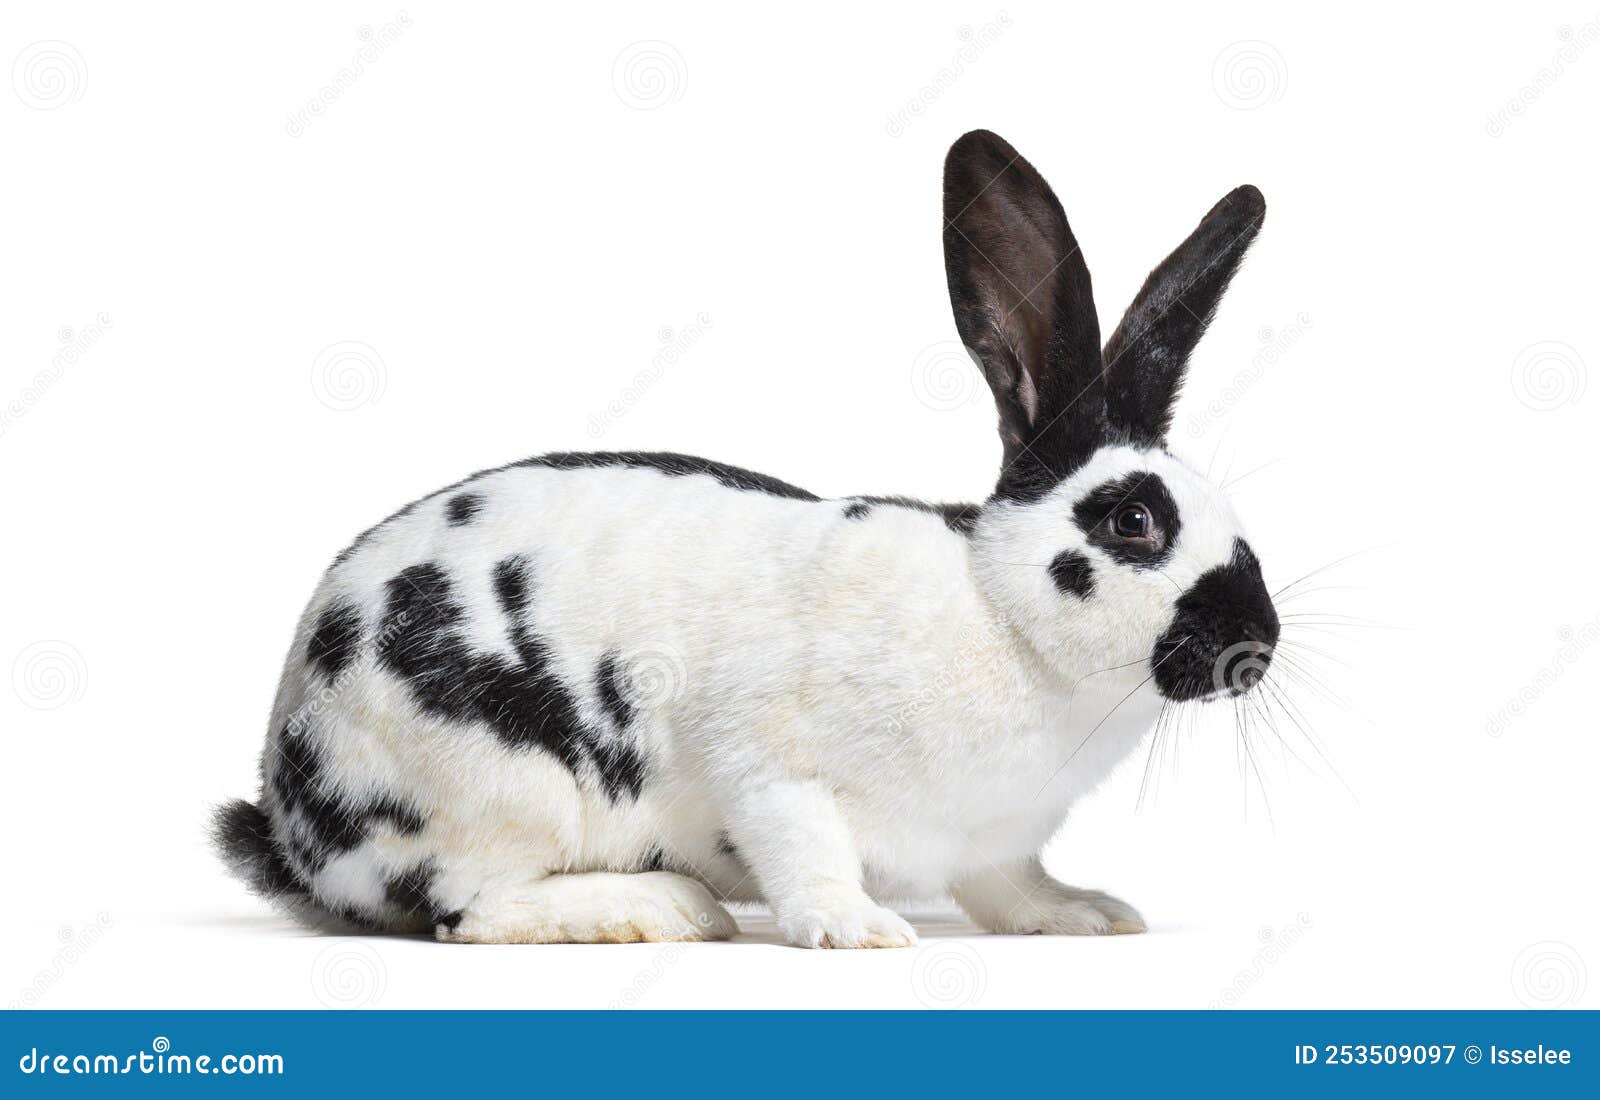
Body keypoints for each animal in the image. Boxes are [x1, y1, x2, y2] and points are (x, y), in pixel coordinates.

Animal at [214, 129, 1277, 948]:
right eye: (1133, 520)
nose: (1256, 645)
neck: (1005, 622)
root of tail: (289, 807)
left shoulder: (996, 843)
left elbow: (1010, 887)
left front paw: (1088, 913)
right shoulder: (774, 770)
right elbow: (805, 854)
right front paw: (859, 932)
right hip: (499, 786)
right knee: (468, 910)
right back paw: (665, 909)